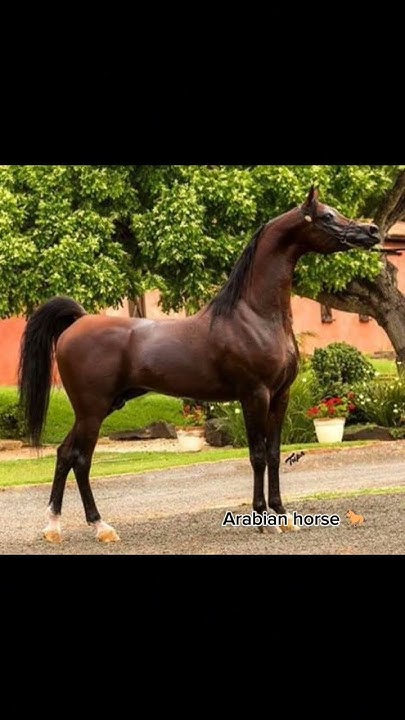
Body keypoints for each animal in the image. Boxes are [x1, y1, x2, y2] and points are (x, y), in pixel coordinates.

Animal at [18, 187, 380, 544]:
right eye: (327, 216)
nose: (372, 231)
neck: (255, 316)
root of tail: (78, 321)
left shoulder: (281, 396)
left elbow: (275, 454)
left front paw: (282, 516)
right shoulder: (254, 395)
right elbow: (257, 454)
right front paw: (263, 519)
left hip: (101, 407)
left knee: (65, 453)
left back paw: (55, 527)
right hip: (92, 410)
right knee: (81, 460)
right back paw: (100, 527)